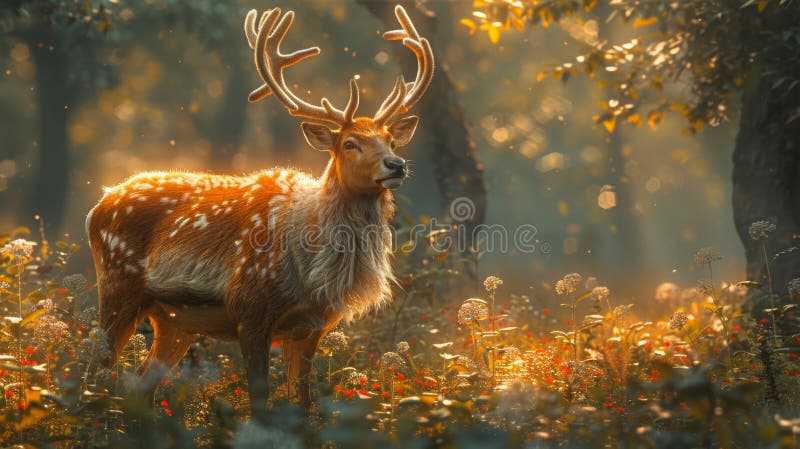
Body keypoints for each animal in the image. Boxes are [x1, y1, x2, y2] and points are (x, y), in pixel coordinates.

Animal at [84, 5, 433, 411]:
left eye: (390, 139)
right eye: (349, 143)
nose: (396, 164)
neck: (311, 274)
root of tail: (96, 207)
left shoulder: (312, 327)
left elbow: (304, 405)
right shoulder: (250, 312)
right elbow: (259, 405)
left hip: (173, 320)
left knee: (139, 389)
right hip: (117, 287)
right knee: (91, 372)